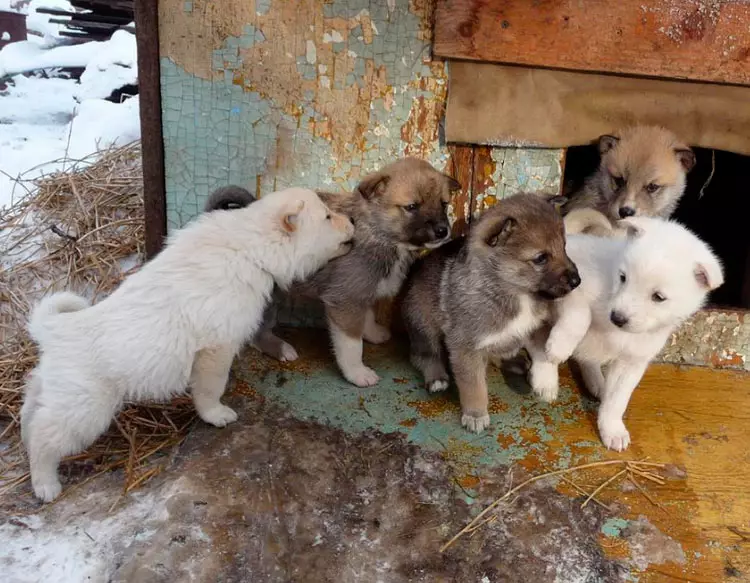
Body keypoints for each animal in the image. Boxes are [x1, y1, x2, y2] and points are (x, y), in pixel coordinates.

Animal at [20, 188, 356, 502]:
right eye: (328, 217)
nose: (352, 221)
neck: (248, 247)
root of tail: (54, 330)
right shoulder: (215, 347)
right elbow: (210, 387)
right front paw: (216, 414)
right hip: (85, 407)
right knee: (44, 438)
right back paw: (45, 485)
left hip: (55, 390)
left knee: (31, 414)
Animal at [402, 193, 584, 434]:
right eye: (540, 258)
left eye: (564, 247)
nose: (577, 281)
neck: (516, 293)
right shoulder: (465, 347)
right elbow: (474, 385)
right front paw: (476, 414)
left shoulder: (537, 326)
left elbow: (545, 355)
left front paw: (546, 384)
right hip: (423, 324)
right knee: (423, 355)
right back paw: (437, 377)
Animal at [524, 218, 724, 452]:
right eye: (623, 277)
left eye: (658, 297)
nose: (617, 318)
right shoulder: (569, 287)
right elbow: (580, 315)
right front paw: (559, 348)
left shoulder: (632, 362)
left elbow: (617, 400)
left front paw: (612, 429)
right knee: (535, 342)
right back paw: (546, 378)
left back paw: (596, 382)